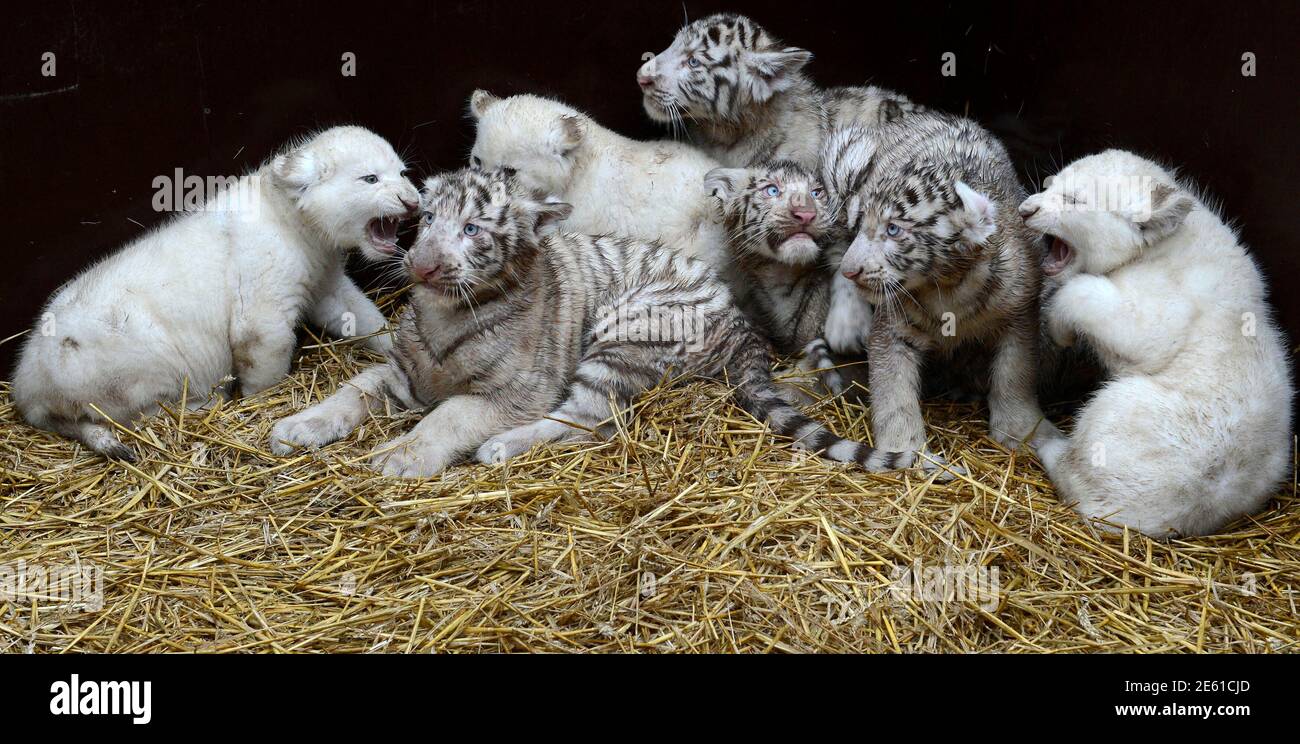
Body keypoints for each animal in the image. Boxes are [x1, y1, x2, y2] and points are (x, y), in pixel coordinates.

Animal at [269, 167, 914, 477]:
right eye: (427, 218)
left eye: (472, 229)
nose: (421, 264)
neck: (447, 311)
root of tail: (738, 322)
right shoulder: (401, 372)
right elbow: (350, 392)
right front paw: (298, 426)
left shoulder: (511, 394)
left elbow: (447, 417)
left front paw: (401, 456)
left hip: (622, 334)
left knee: (589, 418)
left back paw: (501, 447)